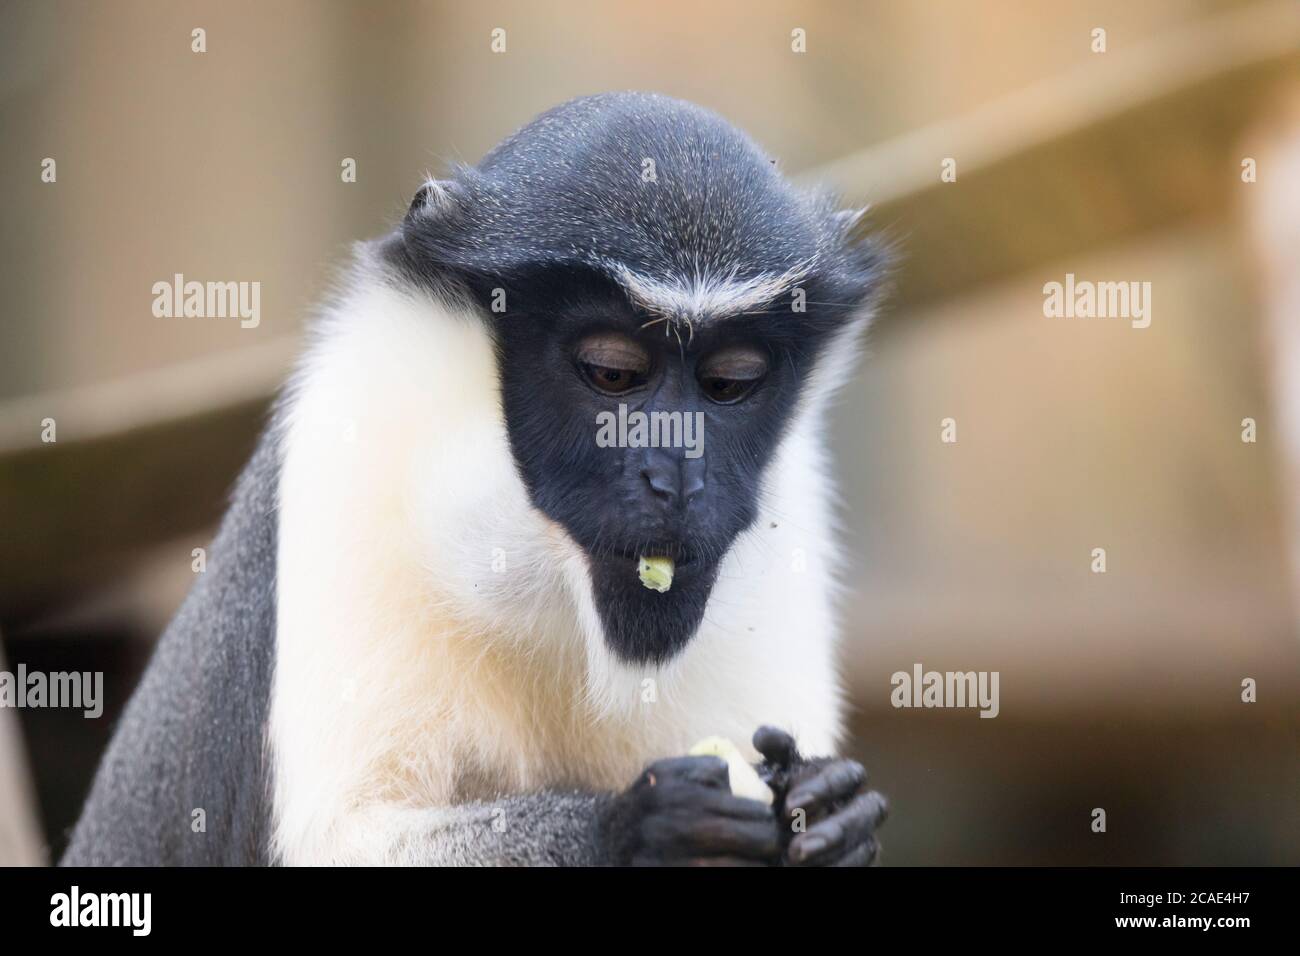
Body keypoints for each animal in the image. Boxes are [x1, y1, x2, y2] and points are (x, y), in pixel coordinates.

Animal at [63, 92, 889, 866]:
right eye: (612, 373)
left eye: (729, 383)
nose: (677, 479)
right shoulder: (352, 450)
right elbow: (345, 838)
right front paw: (639, 828)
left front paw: (829, 813)